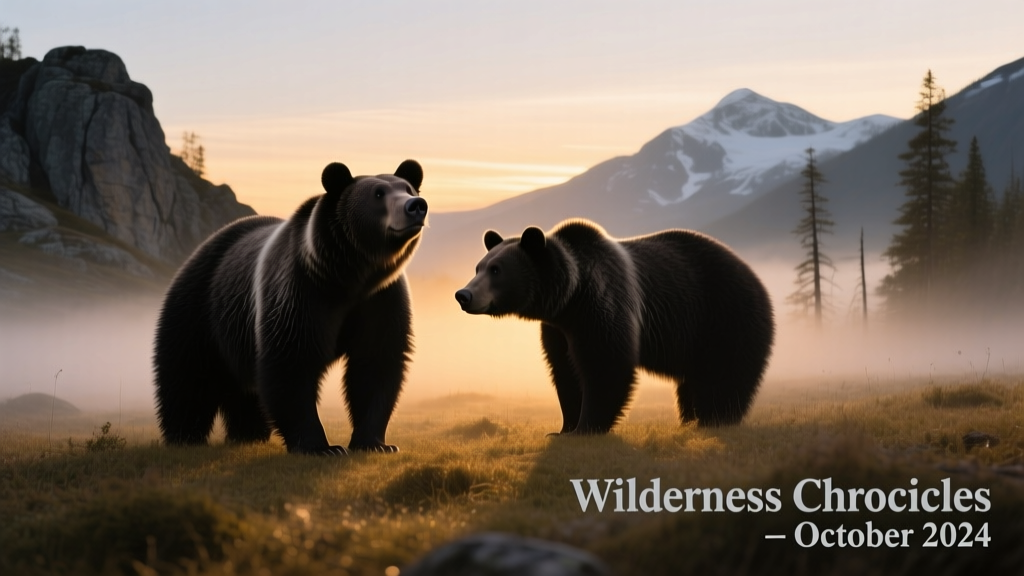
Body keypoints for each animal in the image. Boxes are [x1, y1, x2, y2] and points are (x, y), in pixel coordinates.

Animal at [153, 160, 427, 455]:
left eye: (408, 188)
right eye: (378, 193)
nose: (415, 205)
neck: (350, 275)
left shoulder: (381, 298)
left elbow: (376, 361)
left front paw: (374, 443)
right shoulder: (300, 291)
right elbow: (292, 360)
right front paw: (321, 447)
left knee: (243, 391)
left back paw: (248, 433)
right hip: (199, 310)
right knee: (187, 377)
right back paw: (185, 436)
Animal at [454, 219, 774, 433]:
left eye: (496, 270)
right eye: (478, 267)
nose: (463, 295)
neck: (570, 296)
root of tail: (754, 275)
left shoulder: (602, 303)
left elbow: (605, 364)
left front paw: (586, 428)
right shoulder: (559, 329)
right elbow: (565, 371)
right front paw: (564, 427)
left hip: (724, 315)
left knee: (727, 373)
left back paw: (715, 419)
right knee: (692, 379)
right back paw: (689, 419)